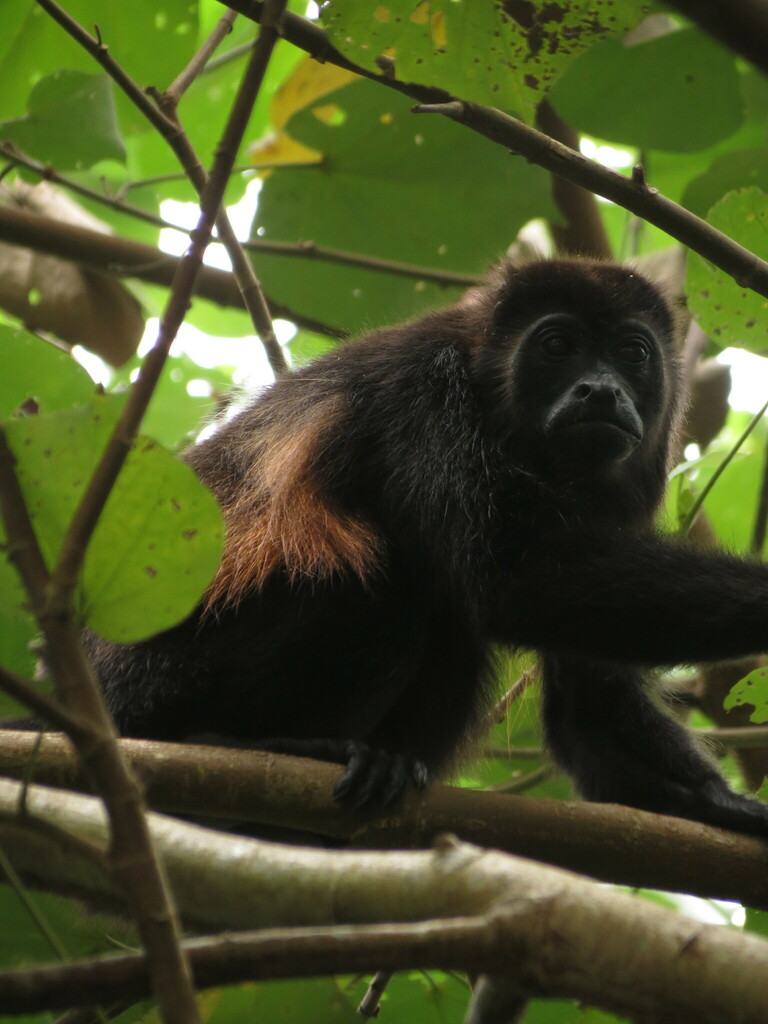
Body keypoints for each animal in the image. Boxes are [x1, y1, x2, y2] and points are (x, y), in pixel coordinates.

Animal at [85, 257, 768, 836]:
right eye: (557, 346)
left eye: (632, 352)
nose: (600, 390)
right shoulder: (424, 390)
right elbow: (518, 581)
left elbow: (589, 694)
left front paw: (719, 801)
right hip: (157, 679)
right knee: (395, 586)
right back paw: (241, 744)